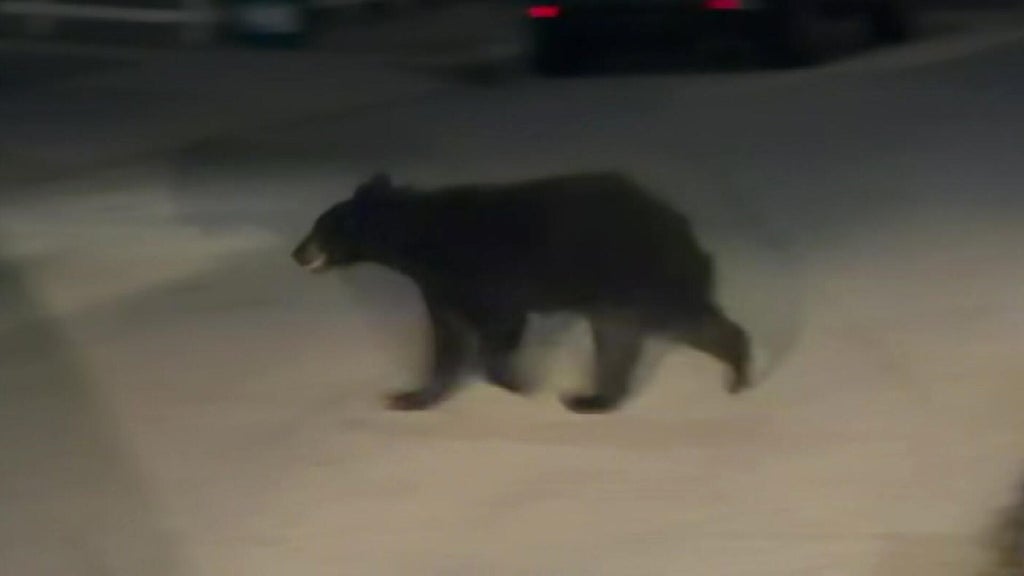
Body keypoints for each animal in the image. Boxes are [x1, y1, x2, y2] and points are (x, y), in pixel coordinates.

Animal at [292, 171, 751, 414]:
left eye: (318, 229)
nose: (296, 254)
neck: (418, 241)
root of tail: (682, 225)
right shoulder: (439, 288)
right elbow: (446, 343)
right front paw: (410, 396)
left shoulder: (478, 275)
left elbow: (499, 327)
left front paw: (517, 385)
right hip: (621, 290)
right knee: (625, 339)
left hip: (639, 276)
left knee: (675, 321)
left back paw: (736, 371)